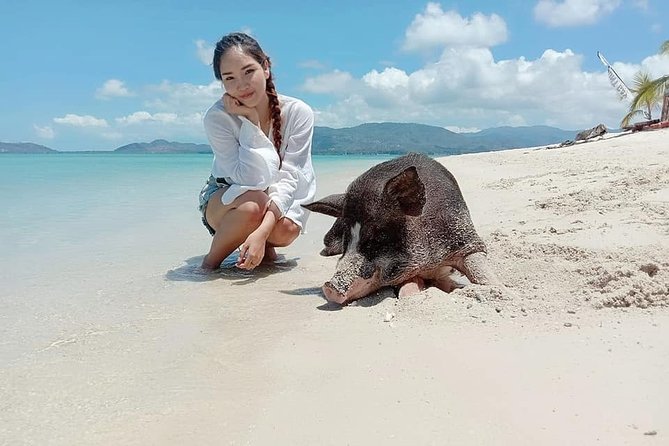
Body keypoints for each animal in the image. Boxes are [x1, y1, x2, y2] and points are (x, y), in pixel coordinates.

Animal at [303, 152, 500, 305]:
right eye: (346, 238)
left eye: (379, 237)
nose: (329, 288)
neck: (431, 263)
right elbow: (408, 289)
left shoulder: (465, 236)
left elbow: (482, 273)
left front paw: (498, 288)